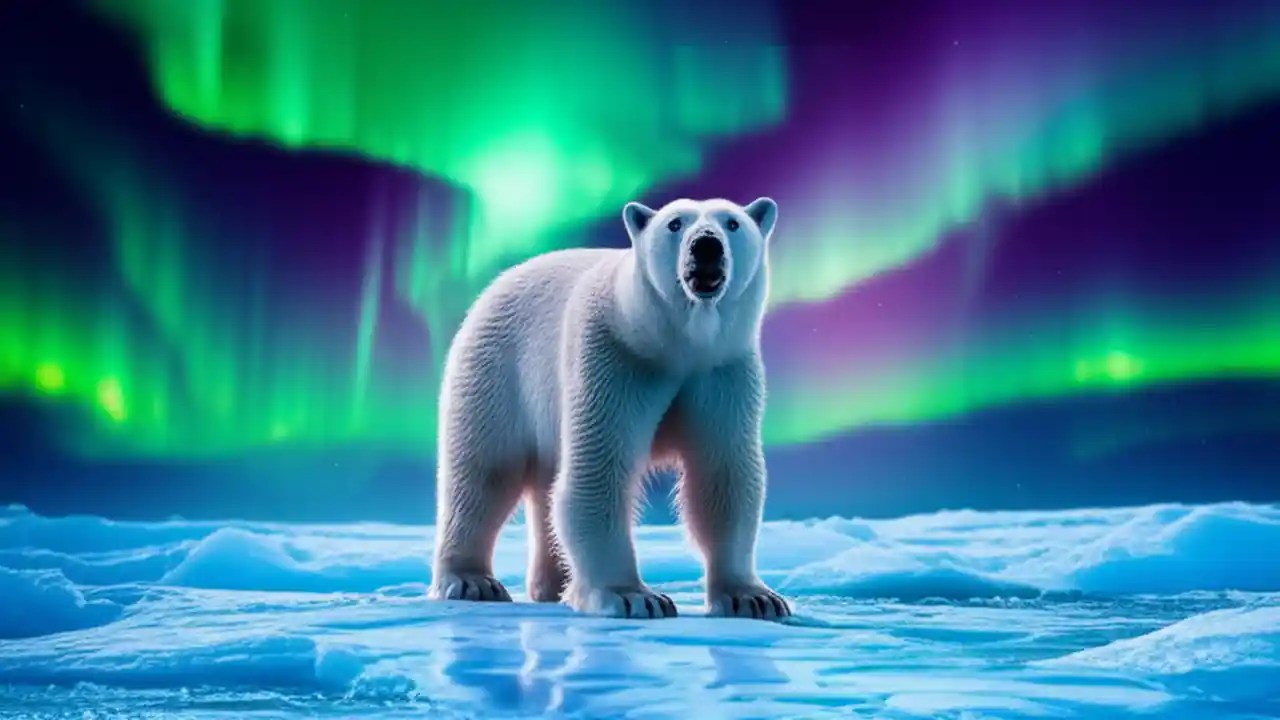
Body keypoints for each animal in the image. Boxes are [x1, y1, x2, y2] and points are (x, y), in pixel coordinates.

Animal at [427, 197, 790, 620]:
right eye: (675, 223)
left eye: (732, 223)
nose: (706, 245)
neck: (673, 343)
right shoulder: (614, 356)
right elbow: (599, 471)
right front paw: (633, 597)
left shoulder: (722, 373)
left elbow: (722, 476)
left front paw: (753, 598)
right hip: (498, 371)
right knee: (485, 473)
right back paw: (471, 581)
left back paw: (553, 585)